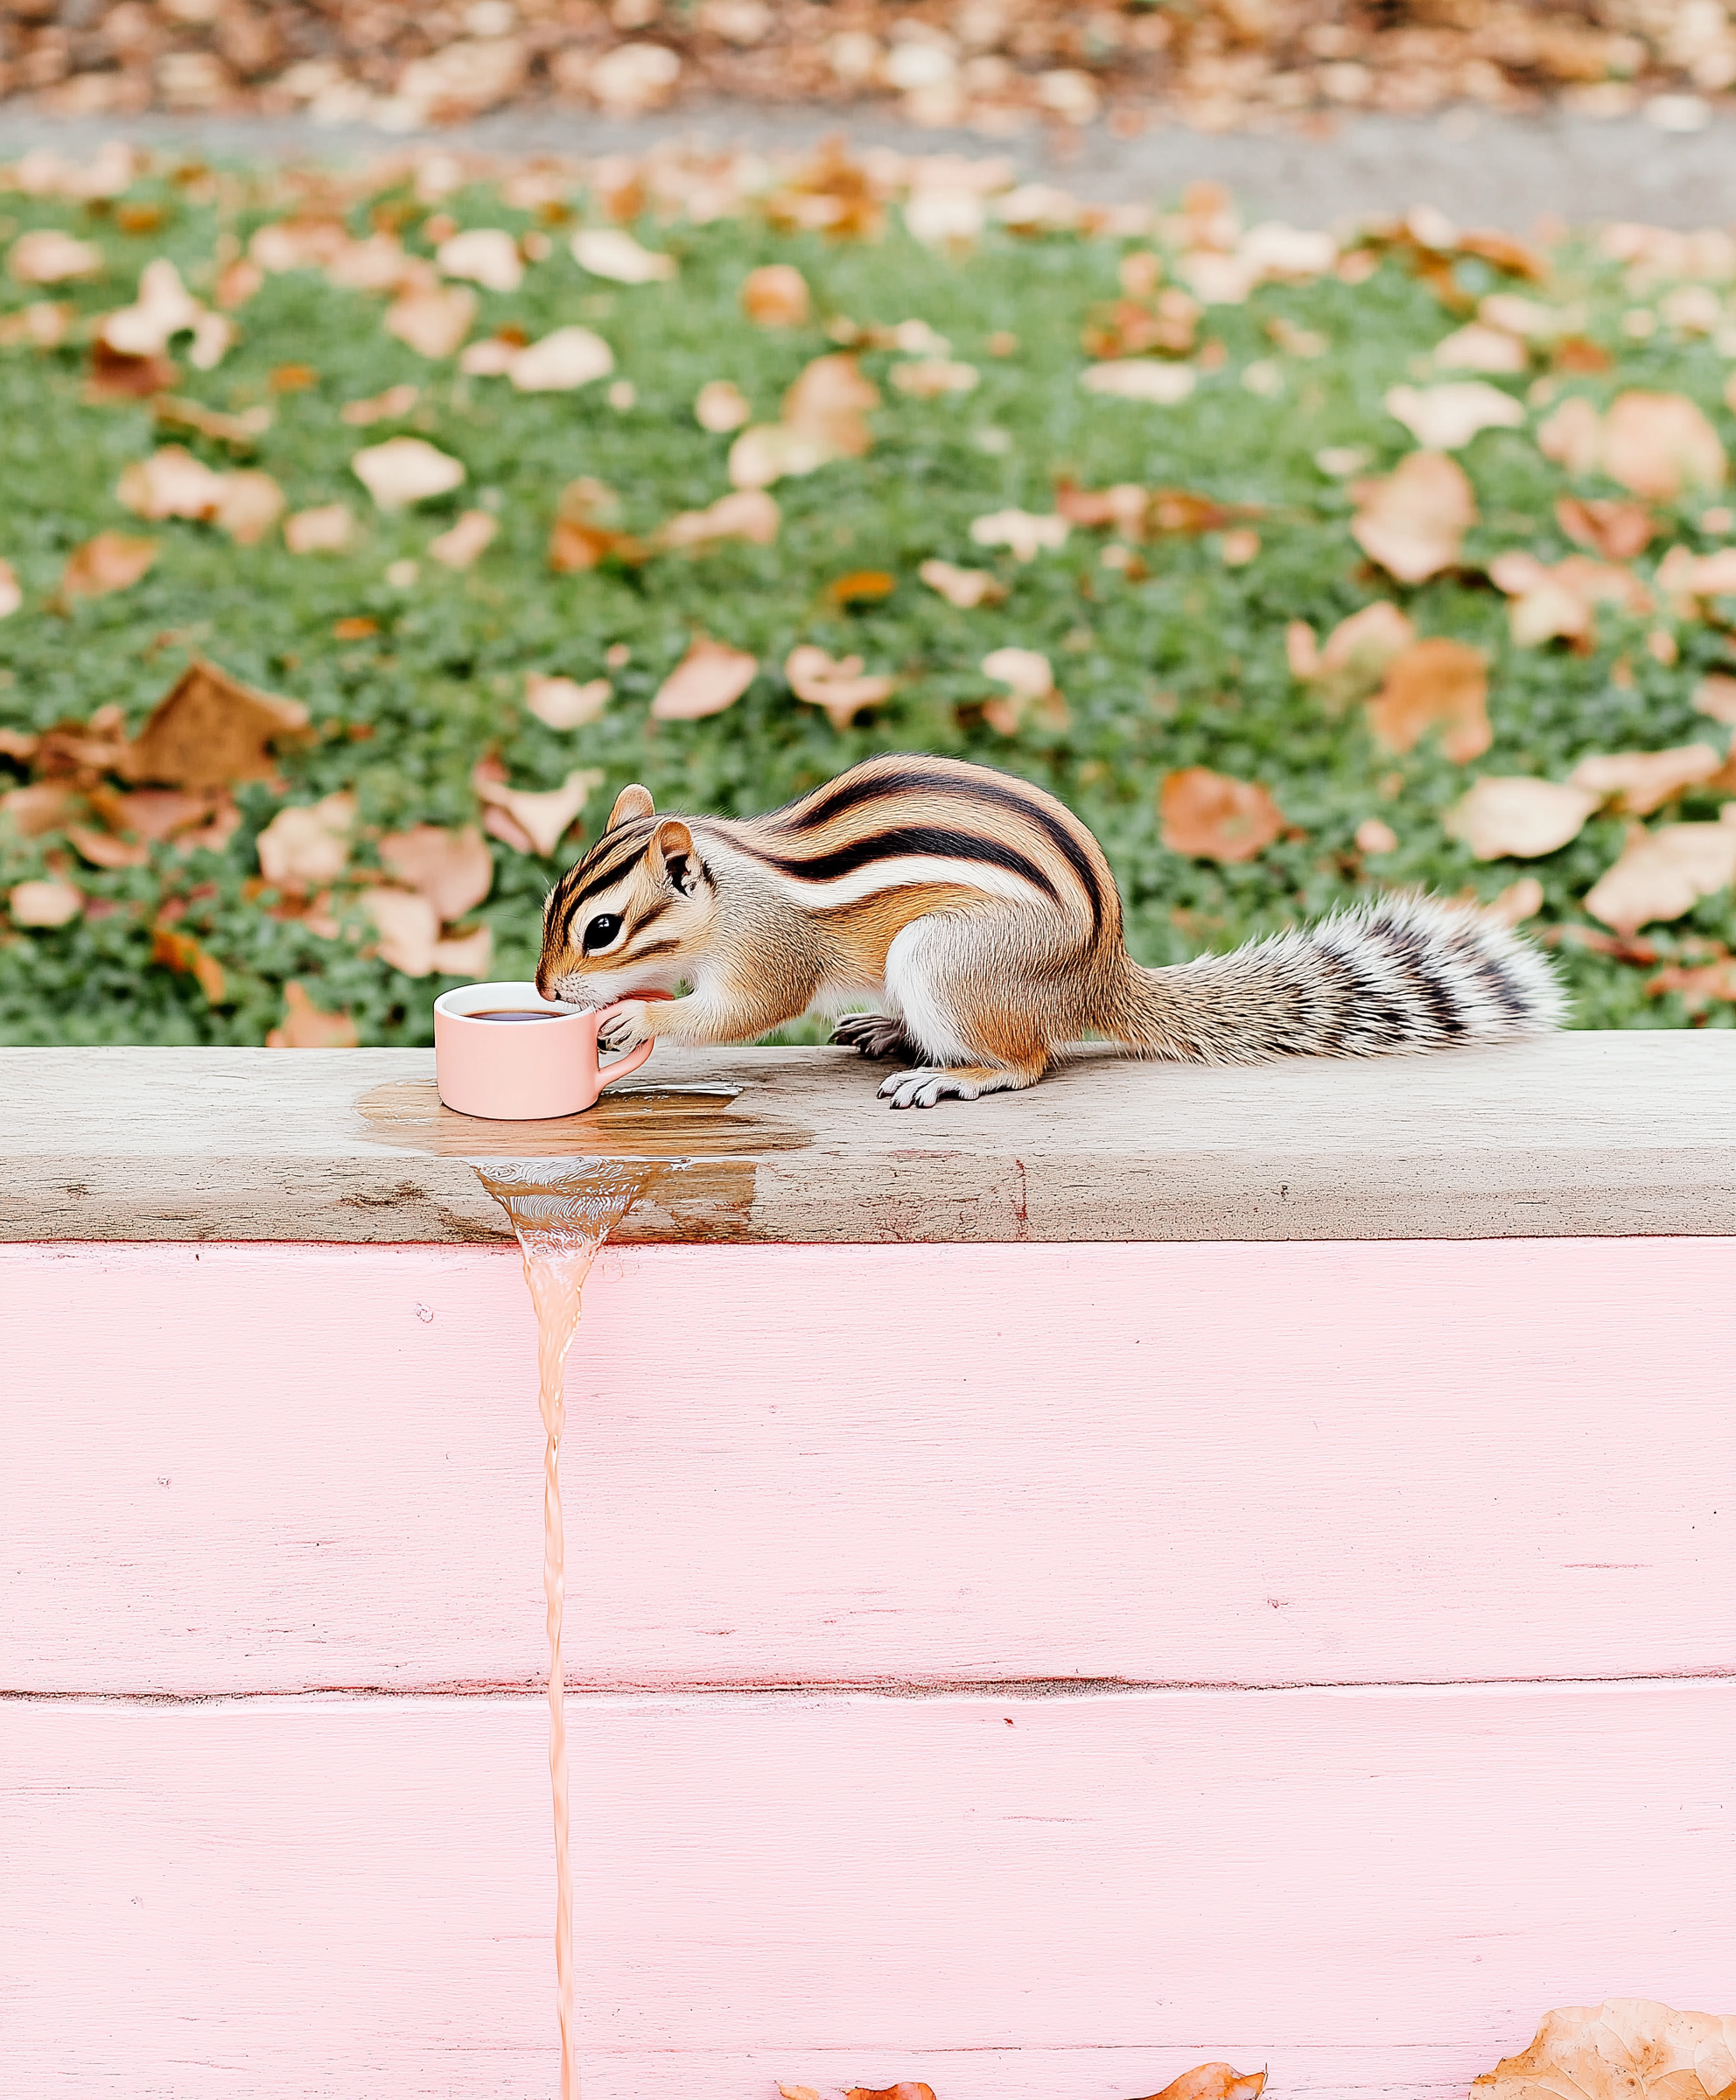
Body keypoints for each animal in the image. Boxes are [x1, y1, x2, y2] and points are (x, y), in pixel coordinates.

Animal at [536, 752, 1564, 1109]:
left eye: (601, 928)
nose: (545, 993)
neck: (734, 882)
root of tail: (1099, 977)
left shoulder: (768, 950)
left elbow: (742, 1011)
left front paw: (636, 1020)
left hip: (945, 960)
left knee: (1030, 1062)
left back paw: (952, 1076)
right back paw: (888, 1030)